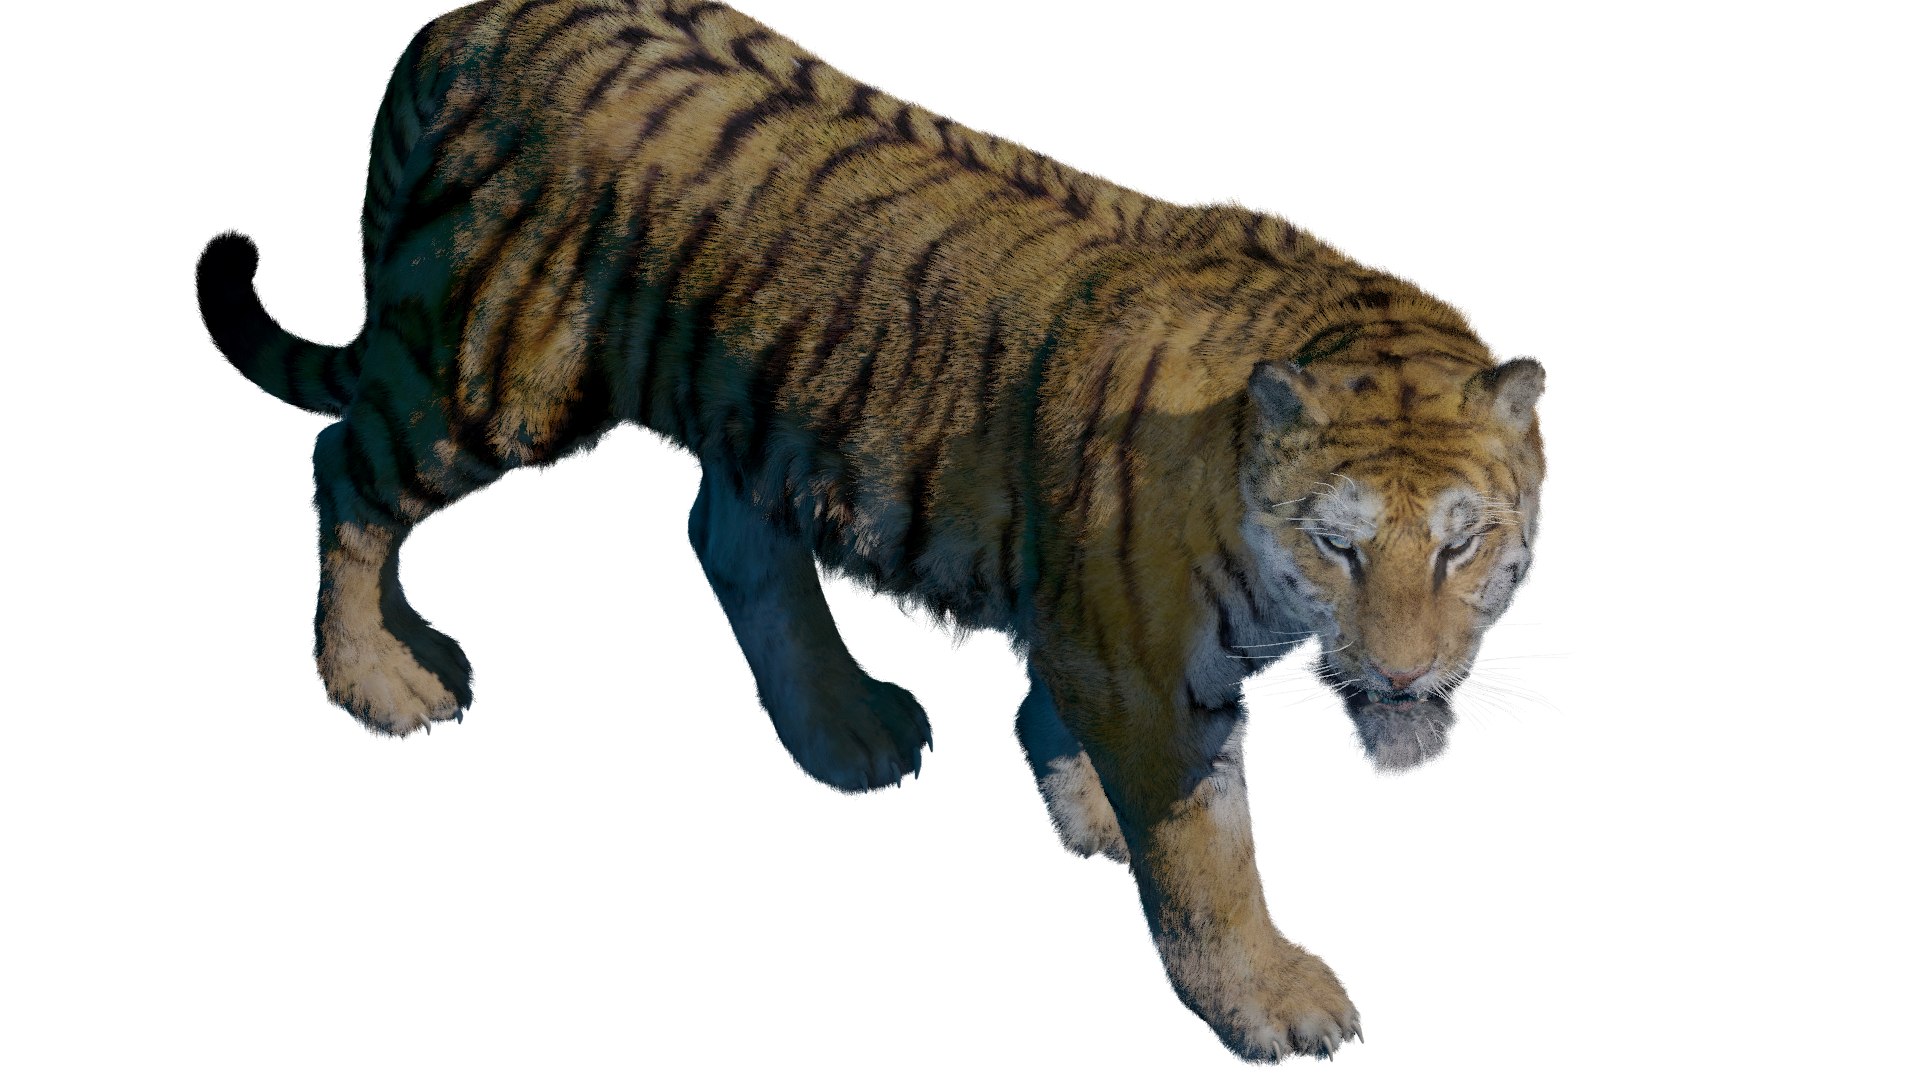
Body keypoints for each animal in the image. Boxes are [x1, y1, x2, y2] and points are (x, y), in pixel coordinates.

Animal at [194, 0, 1546, 1062]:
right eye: (1340, 544)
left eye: (1460, 543)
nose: (1407, 677)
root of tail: (462, 24)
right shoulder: (1146, 665)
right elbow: (1209, 851)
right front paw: (1265, 995)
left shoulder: (1094, 630)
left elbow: (1069, 729)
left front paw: (1088, 814)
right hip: (492, 375)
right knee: (347, 469)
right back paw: (378, 676)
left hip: (750, 407)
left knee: (725, 538)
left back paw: (841, 727)